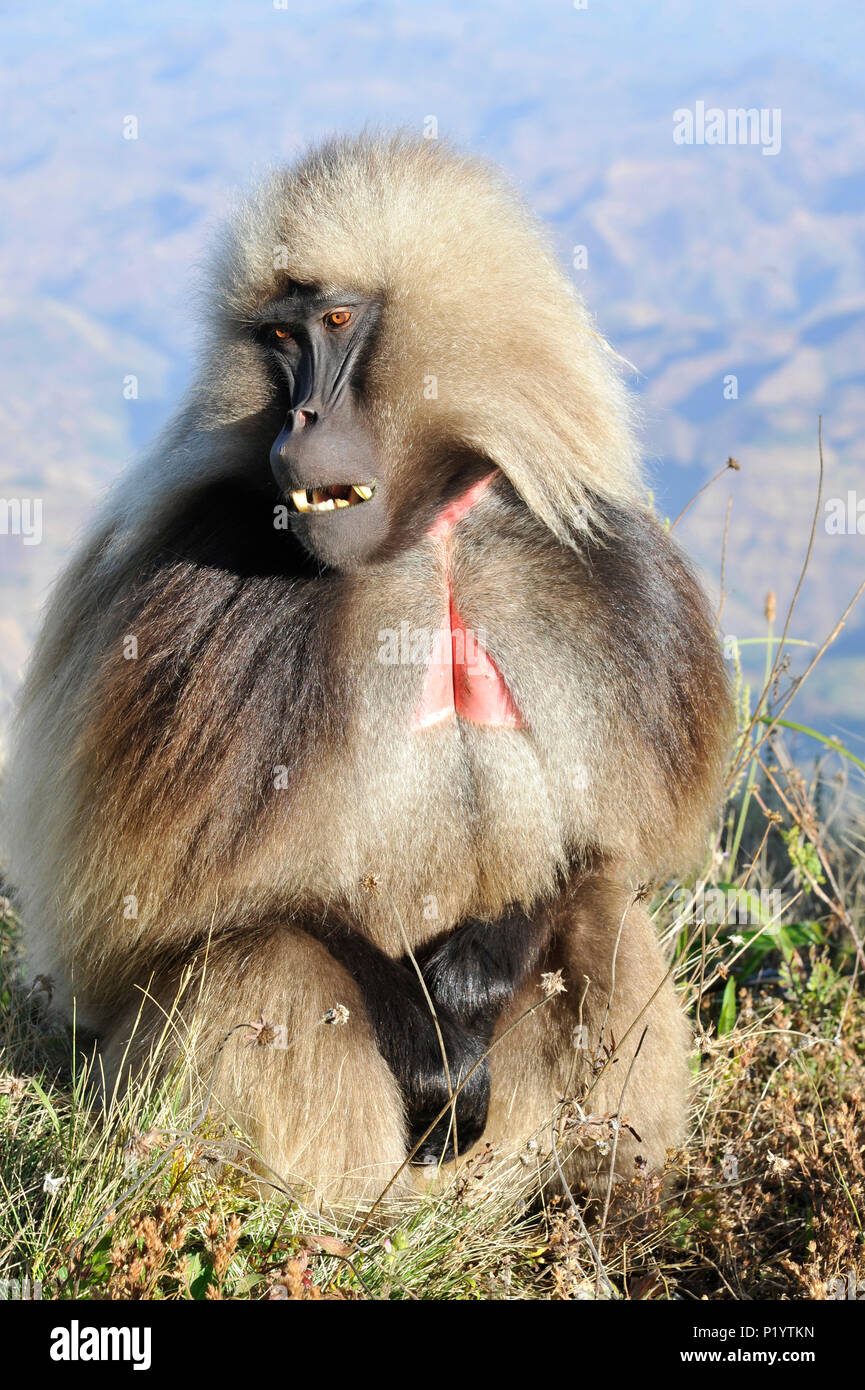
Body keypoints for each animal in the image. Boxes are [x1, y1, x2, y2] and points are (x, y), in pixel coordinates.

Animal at [2, 134, 732, 1206]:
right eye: (276, 337)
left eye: (337, 322)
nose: (301, 416)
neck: (426, 543)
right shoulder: (184, 609)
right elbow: (154, 933)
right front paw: (433, 1058)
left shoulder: (620, 577)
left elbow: (599, 856)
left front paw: (471, 984)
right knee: (267, 961)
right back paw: (330, 1211)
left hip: (514, 1143)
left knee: (607, 923)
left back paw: (601, 1196)